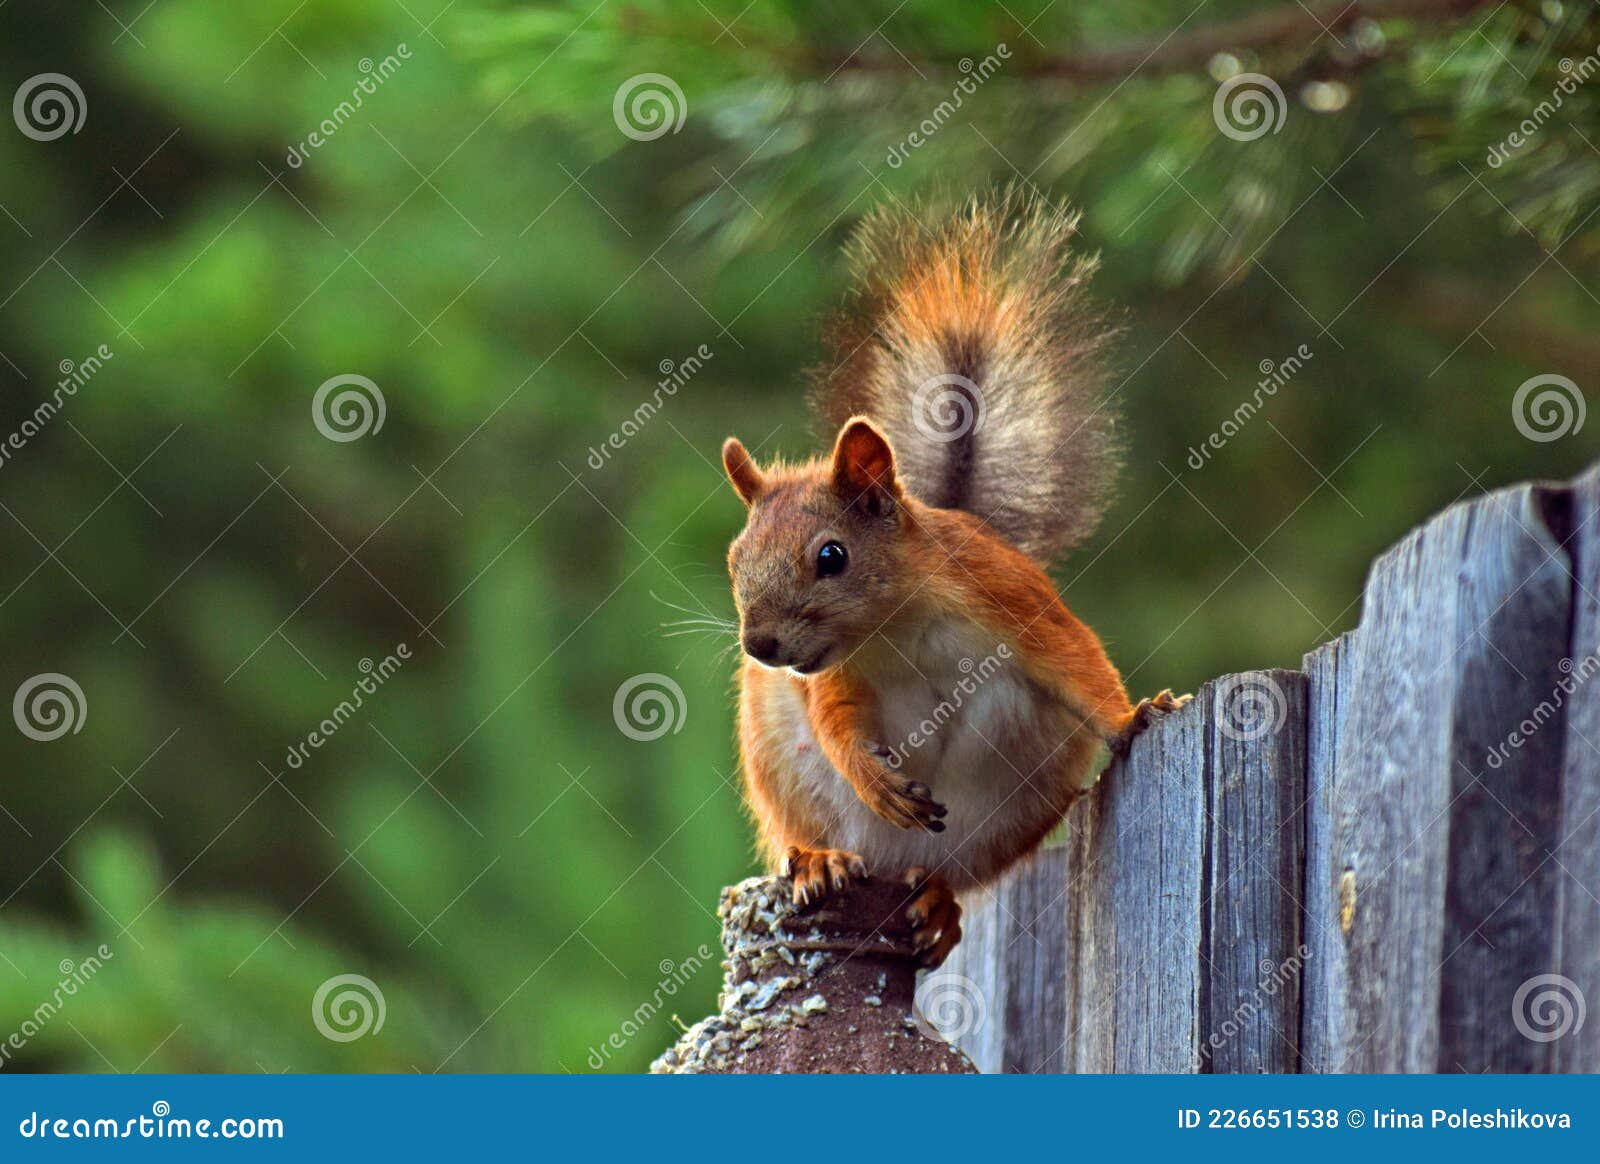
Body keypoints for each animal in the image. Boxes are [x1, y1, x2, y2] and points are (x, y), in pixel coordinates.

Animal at [719, 191, 1187, 968]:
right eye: (734, 559)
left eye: (831, 556)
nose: (761, 646)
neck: (895, 626)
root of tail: (885, 859)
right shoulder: (833, 678)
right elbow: (836, 724)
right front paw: (873, 777)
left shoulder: (1011, 597)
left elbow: (1077, 663)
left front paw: (1136, 715)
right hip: (781, 773)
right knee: (807, 828)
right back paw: (819, 858)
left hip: (1011, 805)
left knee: (953, 871)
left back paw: (936, 899)